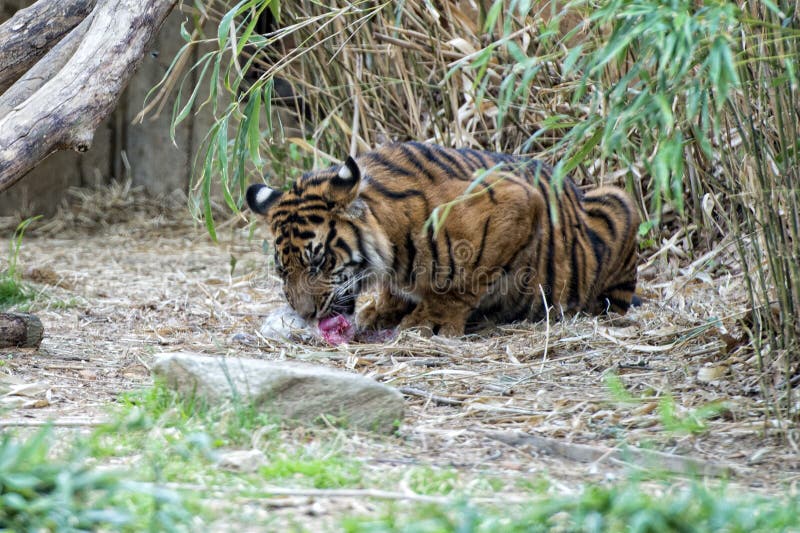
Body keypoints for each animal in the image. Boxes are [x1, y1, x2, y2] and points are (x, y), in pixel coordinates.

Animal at [246, 142, 640, 336]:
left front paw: (429, 321)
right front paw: (384, 310)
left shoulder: (515, 202)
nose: (306, 314)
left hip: (618, 198)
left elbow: (463, 280)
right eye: (282, 272)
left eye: (319, 262)